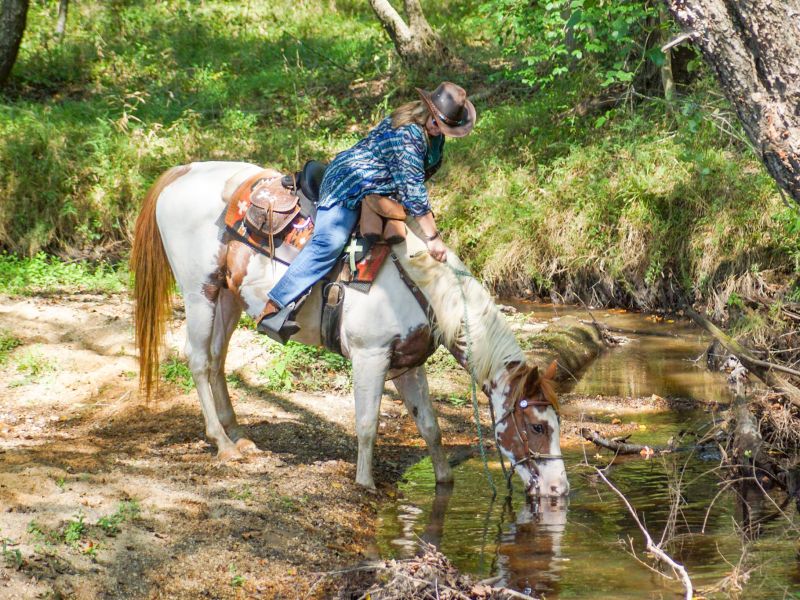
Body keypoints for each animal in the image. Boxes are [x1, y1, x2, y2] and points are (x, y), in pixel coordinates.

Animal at [130, 161, 569, 498]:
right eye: (536, 426)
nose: (560, 489)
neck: (421, 286)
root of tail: (185, 170)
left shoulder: (409, 364)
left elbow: (430, 426)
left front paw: (444, 481)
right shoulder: (370, 355)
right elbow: (366, 423)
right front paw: (364, 482)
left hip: (228, 297)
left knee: (217, 358)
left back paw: (238, 435)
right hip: (199, 291)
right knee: (198, 359)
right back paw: (222, 444)